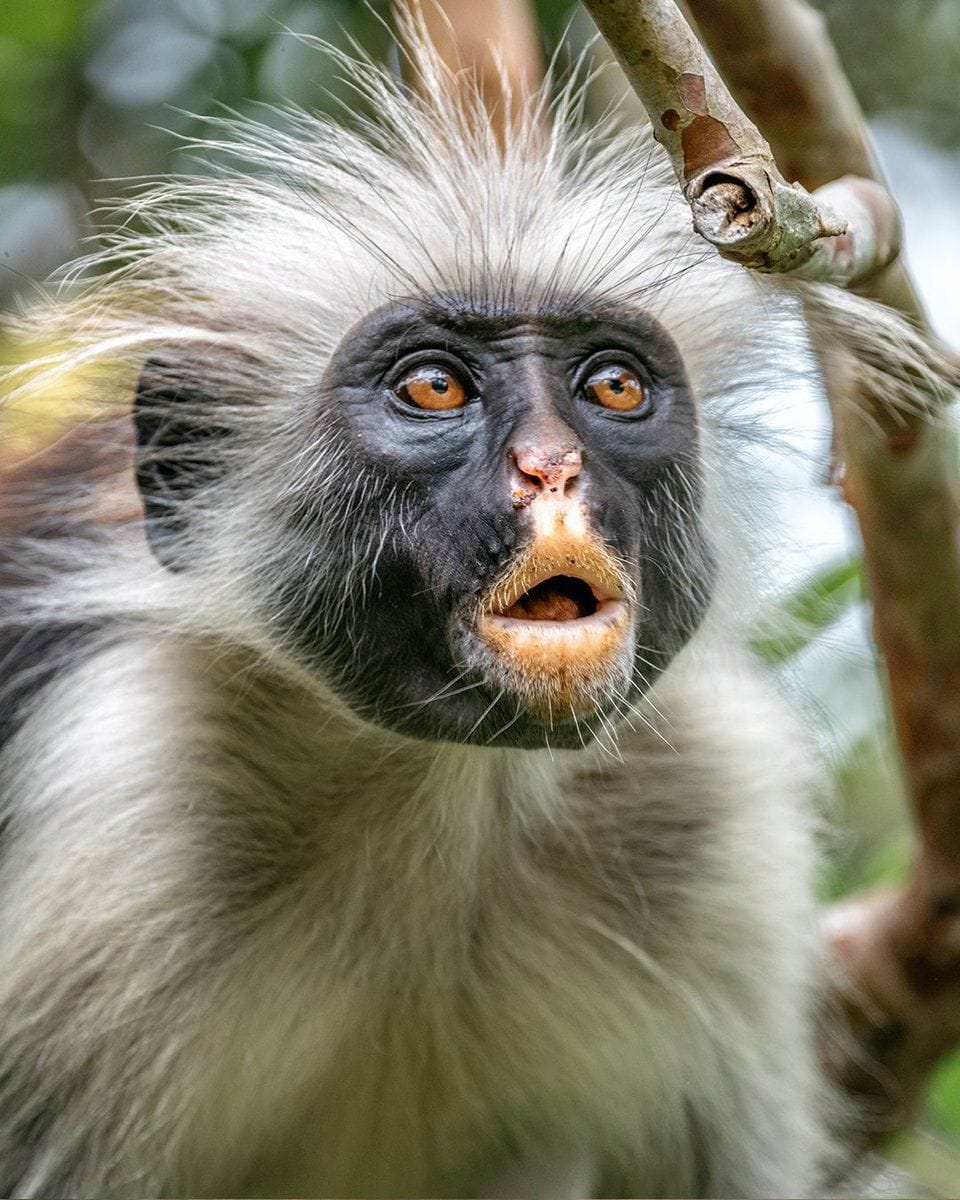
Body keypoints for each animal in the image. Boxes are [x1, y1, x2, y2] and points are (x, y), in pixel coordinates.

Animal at [5, 29, 948, 1200]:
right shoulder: (120, 803)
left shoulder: (715, 813)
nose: (551, 468)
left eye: (614, 388)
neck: (445, 793)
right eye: (435, 389)